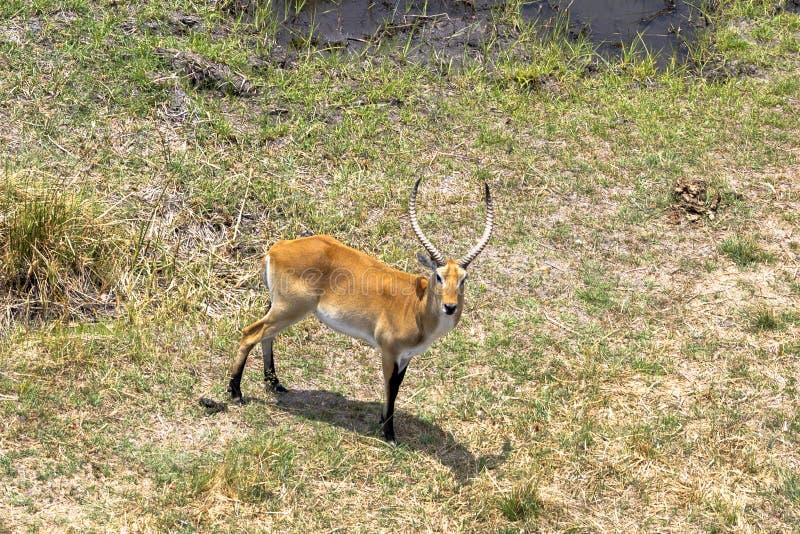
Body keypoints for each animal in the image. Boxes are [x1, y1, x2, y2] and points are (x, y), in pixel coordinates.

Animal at [228, 179, 494, 443]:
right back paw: (236, 392)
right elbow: (390, 387)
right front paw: (389, 433)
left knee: (267, 336)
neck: (416, 309)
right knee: (250, 333)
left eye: (463, 279)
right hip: (290, 309)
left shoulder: (407, 357)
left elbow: (397, 386)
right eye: (439, 276)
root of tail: (278, 248)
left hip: (281, 309)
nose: (450, 306)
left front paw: (383, 422)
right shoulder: (389, 352)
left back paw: (274, 384)